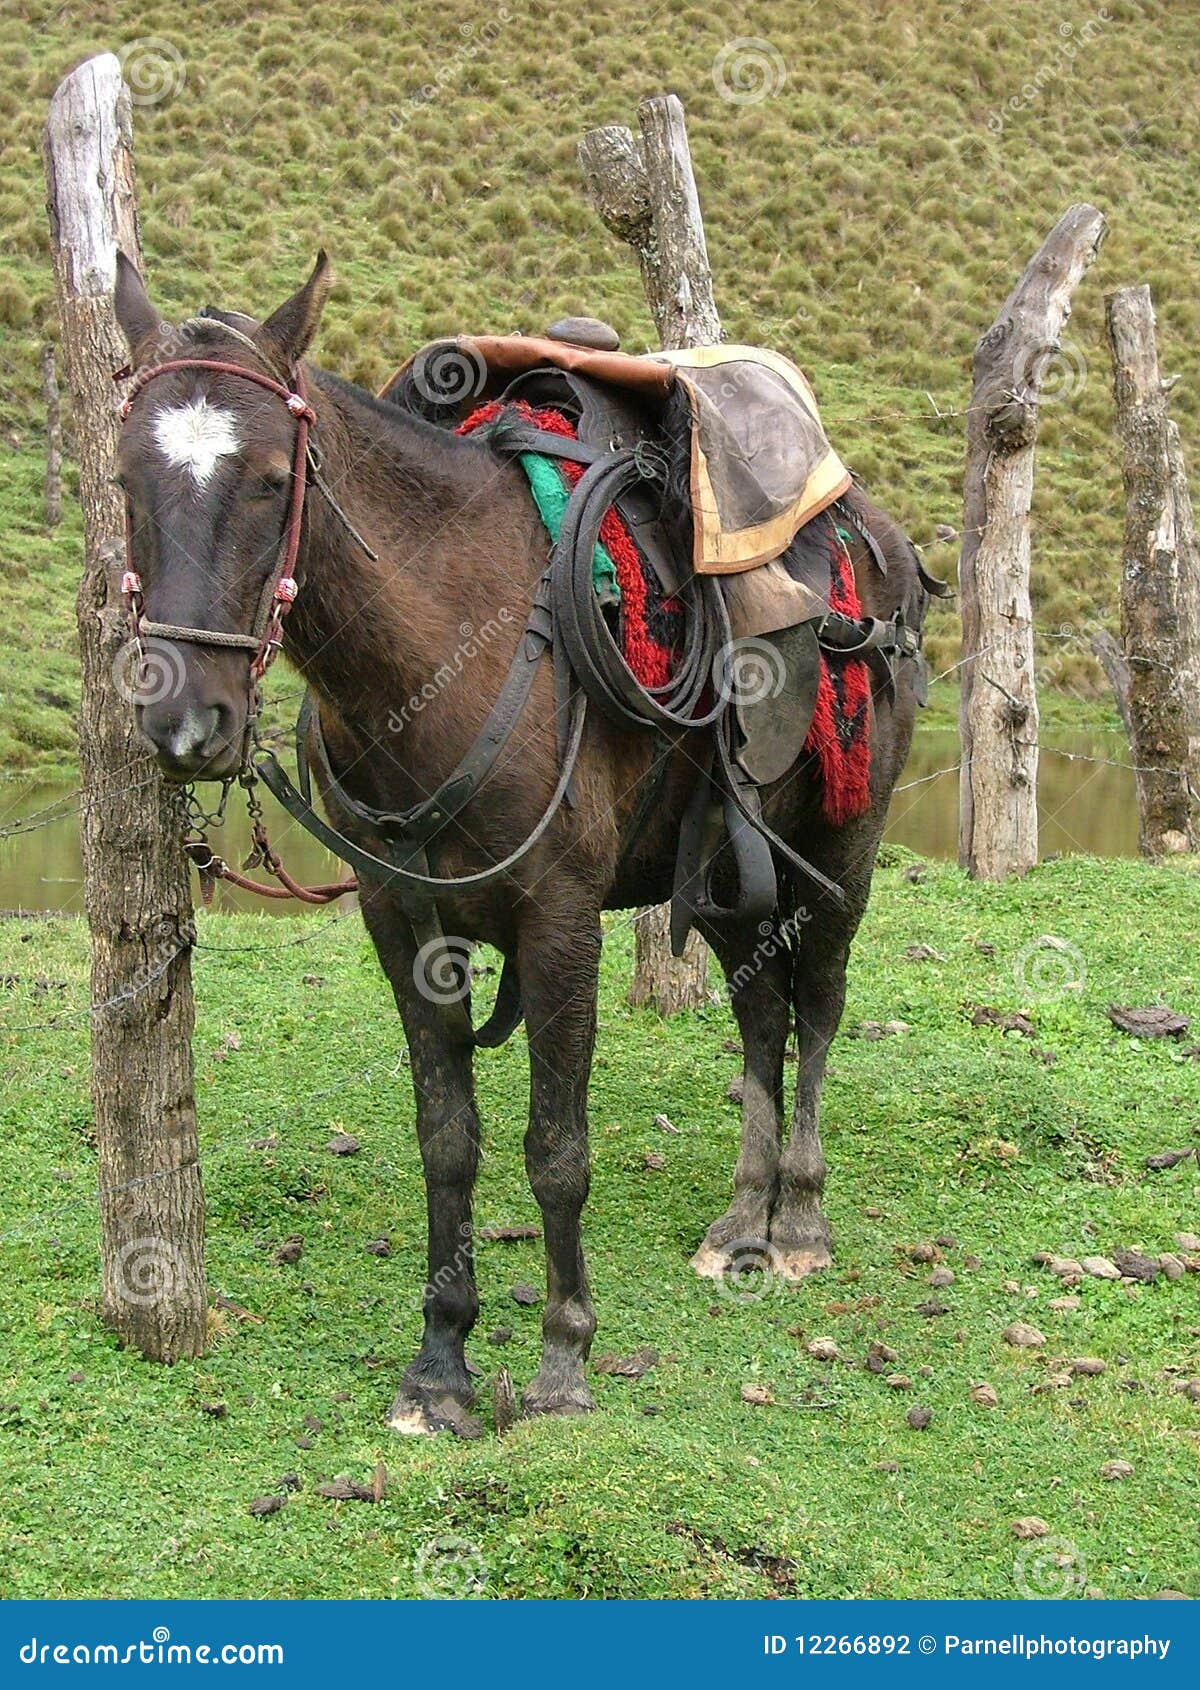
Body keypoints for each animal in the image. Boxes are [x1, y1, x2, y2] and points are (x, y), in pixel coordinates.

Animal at [112, 253, 930, 1436]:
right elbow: (447, 1140)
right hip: (726, 873)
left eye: (270, 478)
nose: (186, 721)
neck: (457, 639)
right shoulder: (404, 923)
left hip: (844, 846)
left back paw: (801, 1223)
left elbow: (556, 1151)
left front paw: (561, 1358)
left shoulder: (559, 923)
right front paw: (439, 1364)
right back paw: (743, 1220)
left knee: (817, 1010)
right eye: (125, 480)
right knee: (762, 1017)